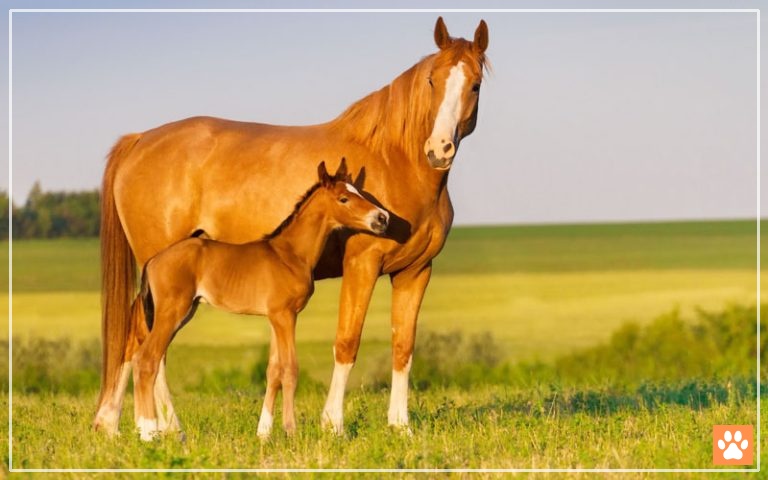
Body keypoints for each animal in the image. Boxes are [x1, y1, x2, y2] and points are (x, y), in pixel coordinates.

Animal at [129, 160, 389, 440]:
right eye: (344, 198)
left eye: (360, 192)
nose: (382, 218)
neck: (290, 254)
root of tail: (153, 261)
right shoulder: (285, 316)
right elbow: (290, 369)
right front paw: (291, 431)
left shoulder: (275, 318)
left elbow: (273, 370)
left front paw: (264, 433)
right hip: (171, 313)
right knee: (146, 360)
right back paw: (148, 433)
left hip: (183, 313)